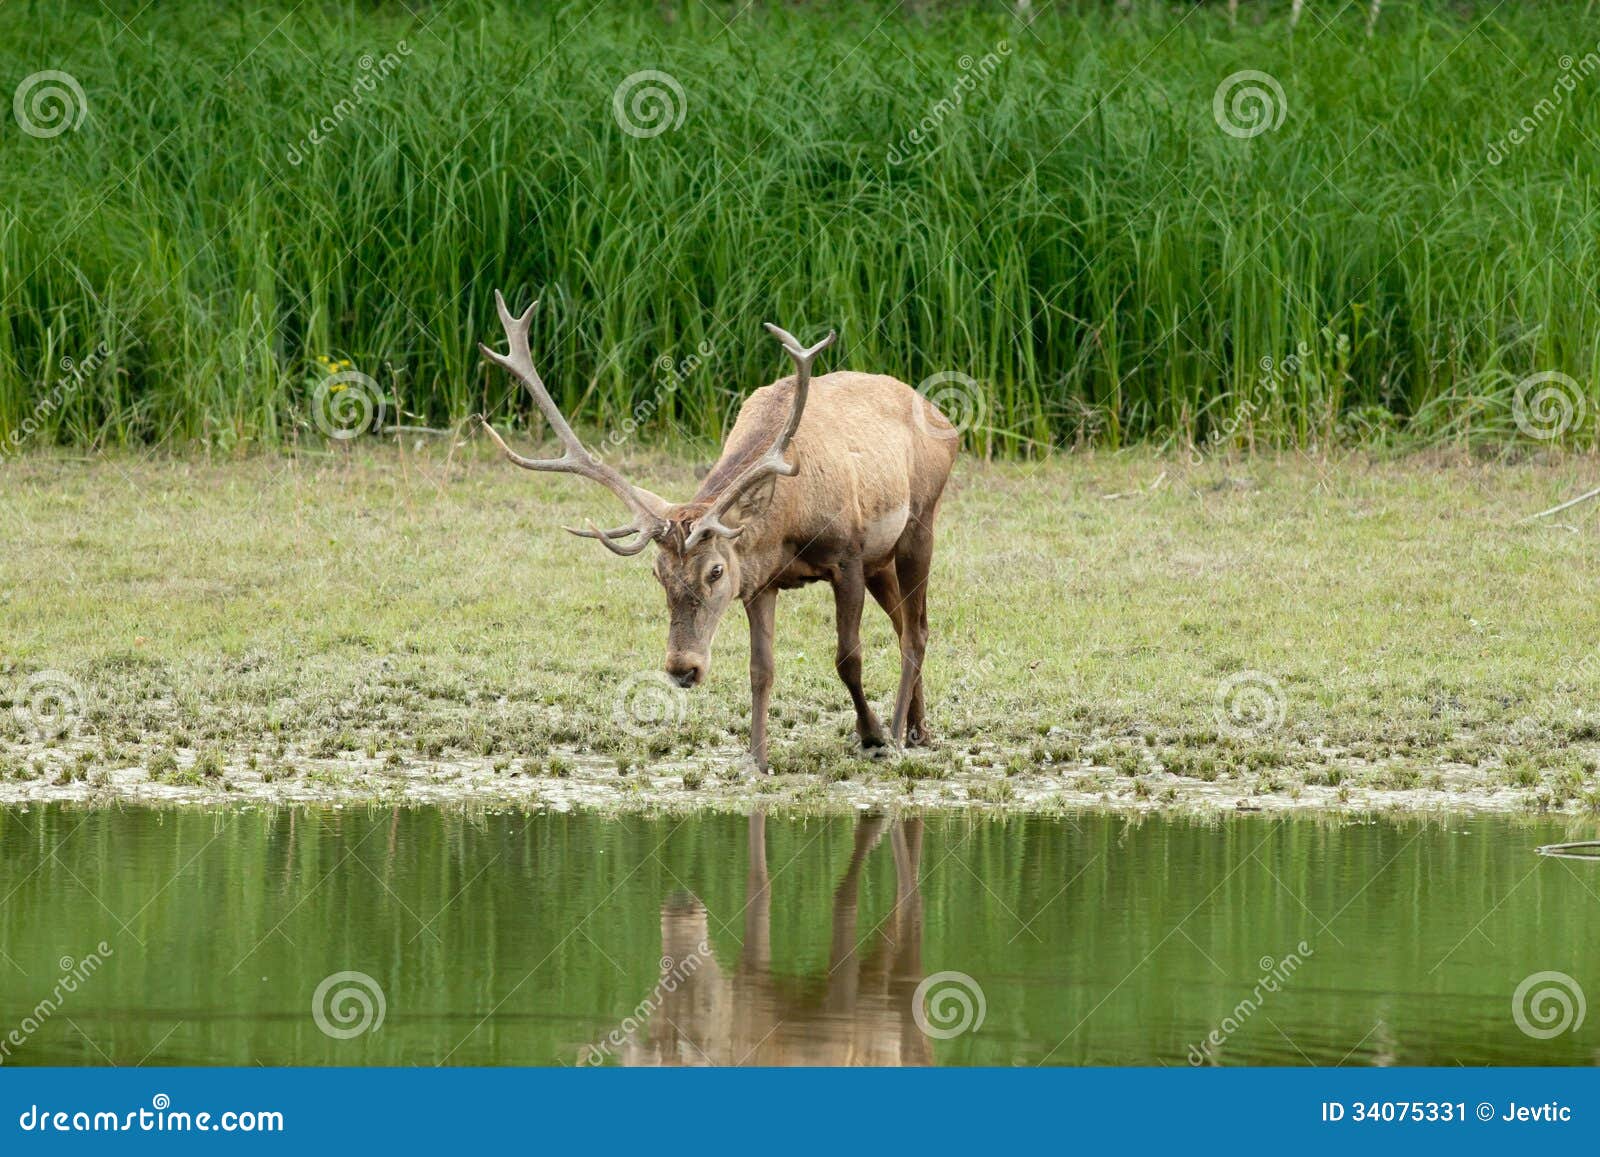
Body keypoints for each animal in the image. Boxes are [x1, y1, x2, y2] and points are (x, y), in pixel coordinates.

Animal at [476, 291, 959, 772]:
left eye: (715, 571)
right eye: (657, 574)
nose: (681, 668)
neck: (788, 523)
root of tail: (945, 419)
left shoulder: (848, 556)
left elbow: (848, 657)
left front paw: (872, 735)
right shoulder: (762, 581)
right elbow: (761, 670)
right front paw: (756, 758)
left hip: (920, 524)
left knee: (916, 630)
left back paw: (898, 732)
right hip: (882, 558)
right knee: (904, 623)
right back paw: (918, 728)